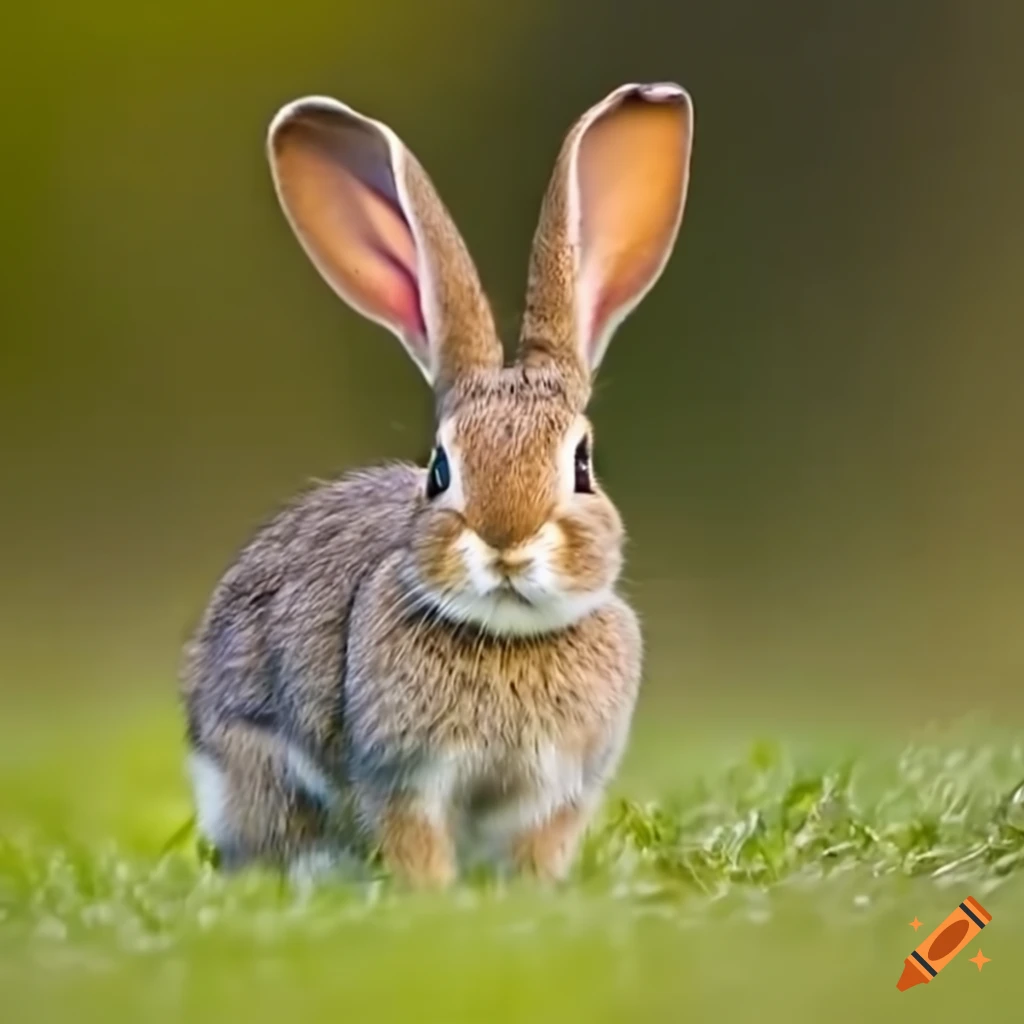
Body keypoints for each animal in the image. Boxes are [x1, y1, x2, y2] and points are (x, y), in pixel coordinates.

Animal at [180, 81, 695, 888]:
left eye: (582, 465)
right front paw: (431, 895)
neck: (509, 638)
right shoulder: (402, 778)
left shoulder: (560, 789)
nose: (507, 544)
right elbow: (413, 837)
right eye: (439, 469)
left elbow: (538, 845)